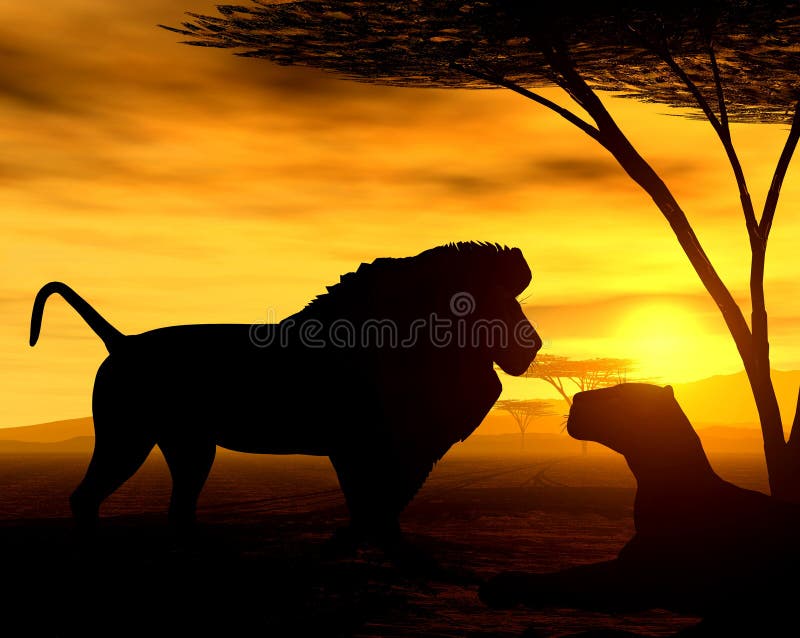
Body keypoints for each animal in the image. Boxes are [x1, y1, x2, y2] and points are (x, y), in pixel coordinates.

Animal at [30, 241, 541, 543]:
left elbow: (385, 507)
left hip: (187, 447)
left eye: (514, 301)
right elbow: (367, 504)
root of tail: (123, 341)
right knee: (86, 497)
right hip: (127, 438)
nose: (532, 346)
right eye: (484, 303)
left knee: (177, 509)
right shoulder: (354, 448)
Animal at [481, 383, 800, 615]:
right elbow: (567, 573)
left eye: (619, 394)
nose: (576, 397)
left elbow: (566, 579)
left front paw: (504, 585)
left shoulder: (633, 576)